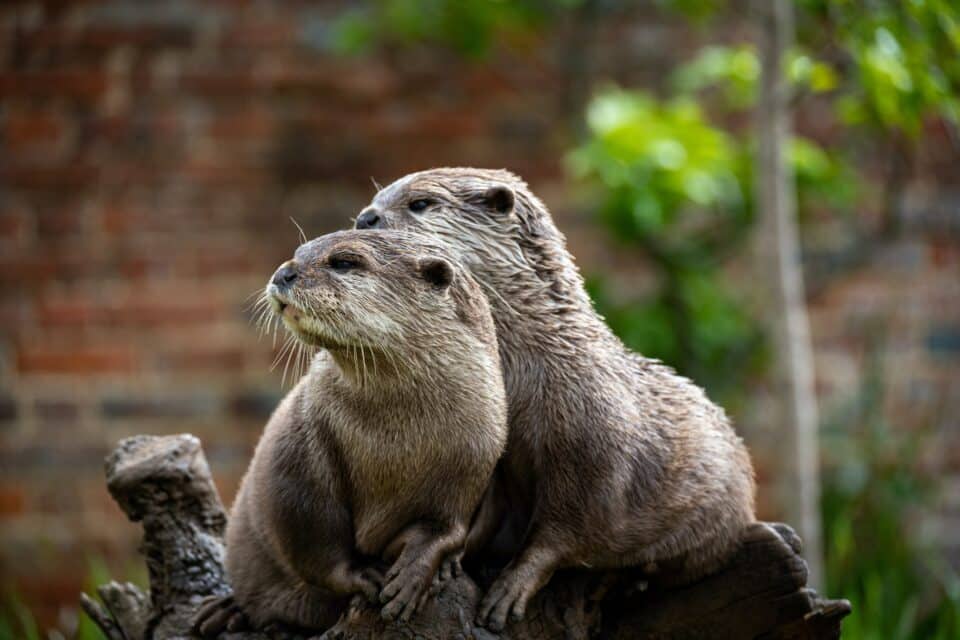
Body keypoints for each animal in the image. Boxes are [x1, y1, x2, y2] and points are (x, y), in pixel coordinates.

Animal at [193, 230, 507, 636]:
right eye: (298, 253)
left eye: (344, 262)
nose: (283, 272)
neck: (397, 439)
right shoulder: (300, 449)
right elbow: (314, 542)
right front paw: (366, 575)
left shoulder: (476, 459)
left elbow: (447, 526)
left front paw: (417, 571)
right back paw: (226, 612)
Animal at [354, 168, 757, 631]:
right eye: (377, 198)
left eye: (420, 203)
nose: (365, 218)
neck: (538, 369)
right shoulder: (491, 455)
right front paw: (442, 563)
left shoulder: (593, 451)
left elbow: (565, 530)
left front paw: (509, 589)